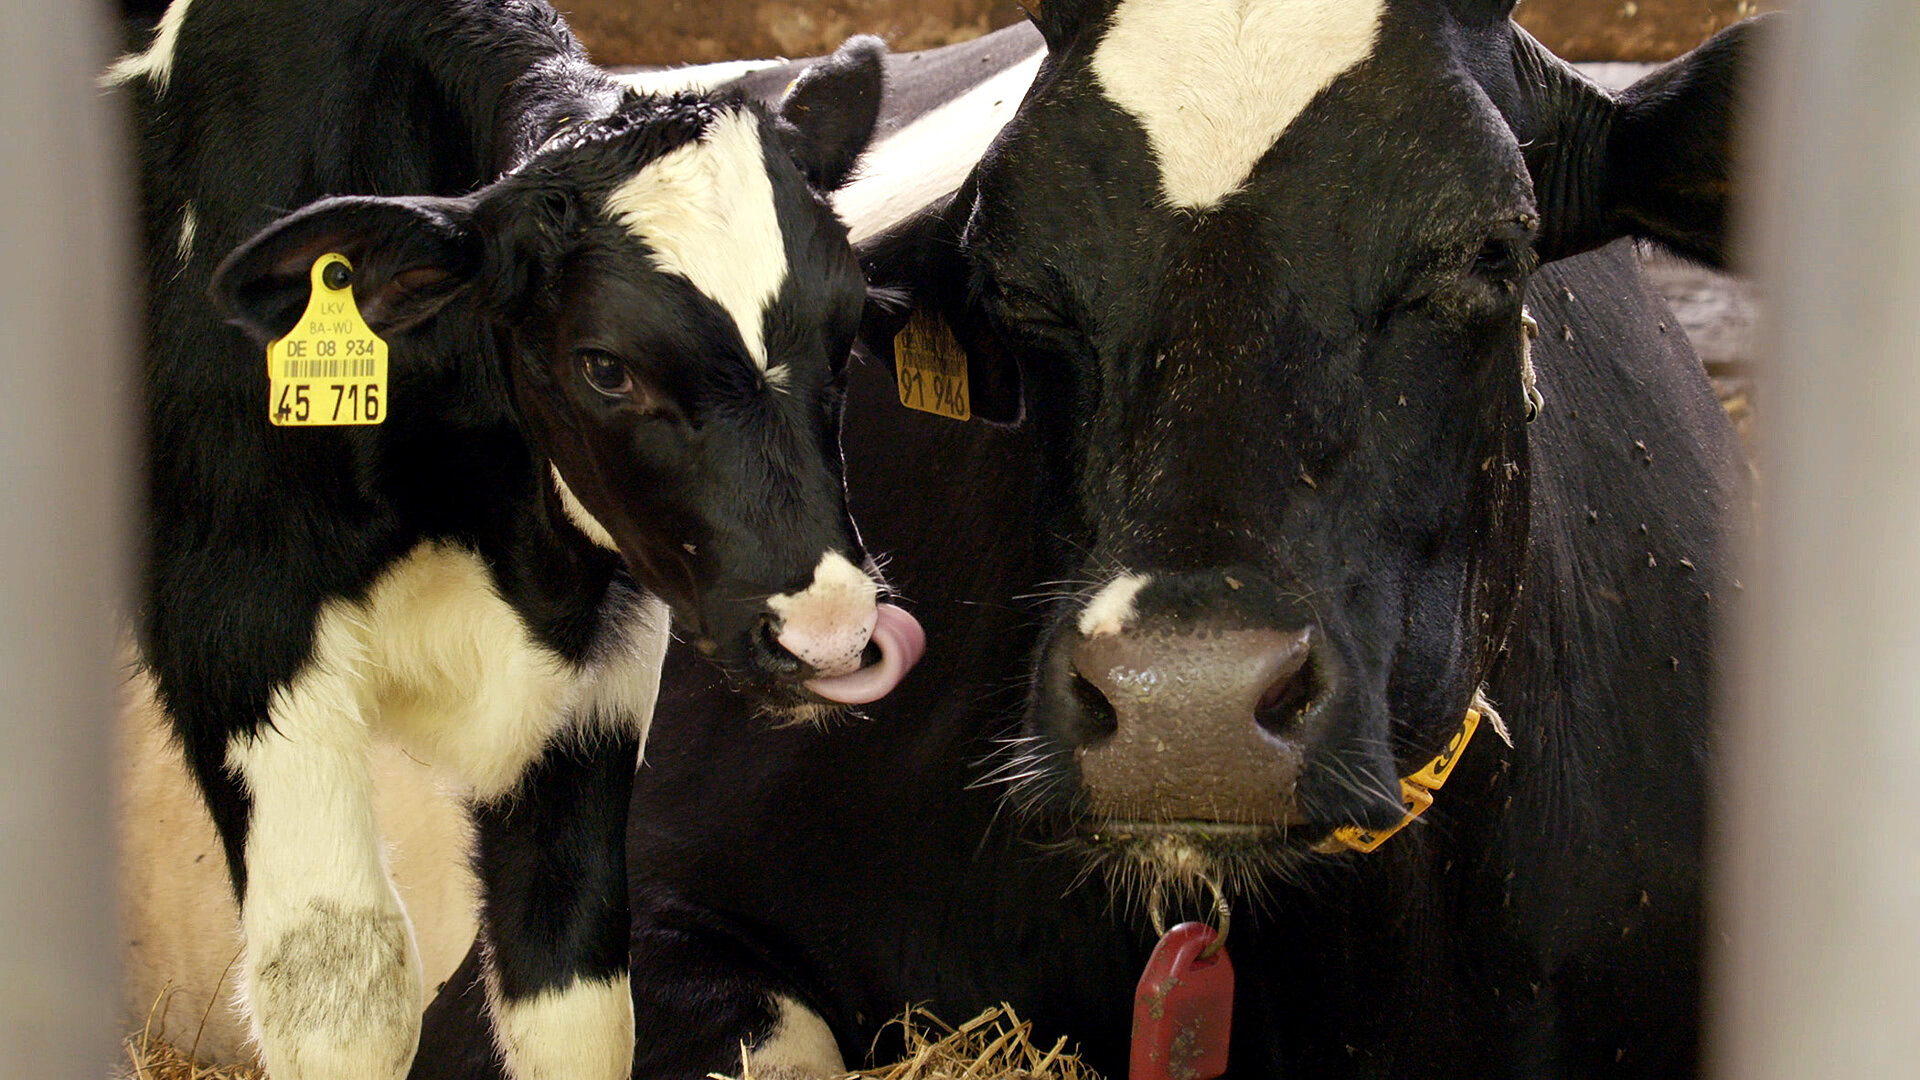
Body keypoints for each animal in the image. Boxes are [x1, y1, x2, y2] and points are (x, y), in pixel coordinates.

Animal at [107, 1, 926, 1077]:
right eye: (606, 367)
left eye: (851, 324)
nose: (828, 633)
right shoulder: (236, 626)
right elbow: (342, 981)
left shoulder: (591, 683)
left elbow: (577, 997)